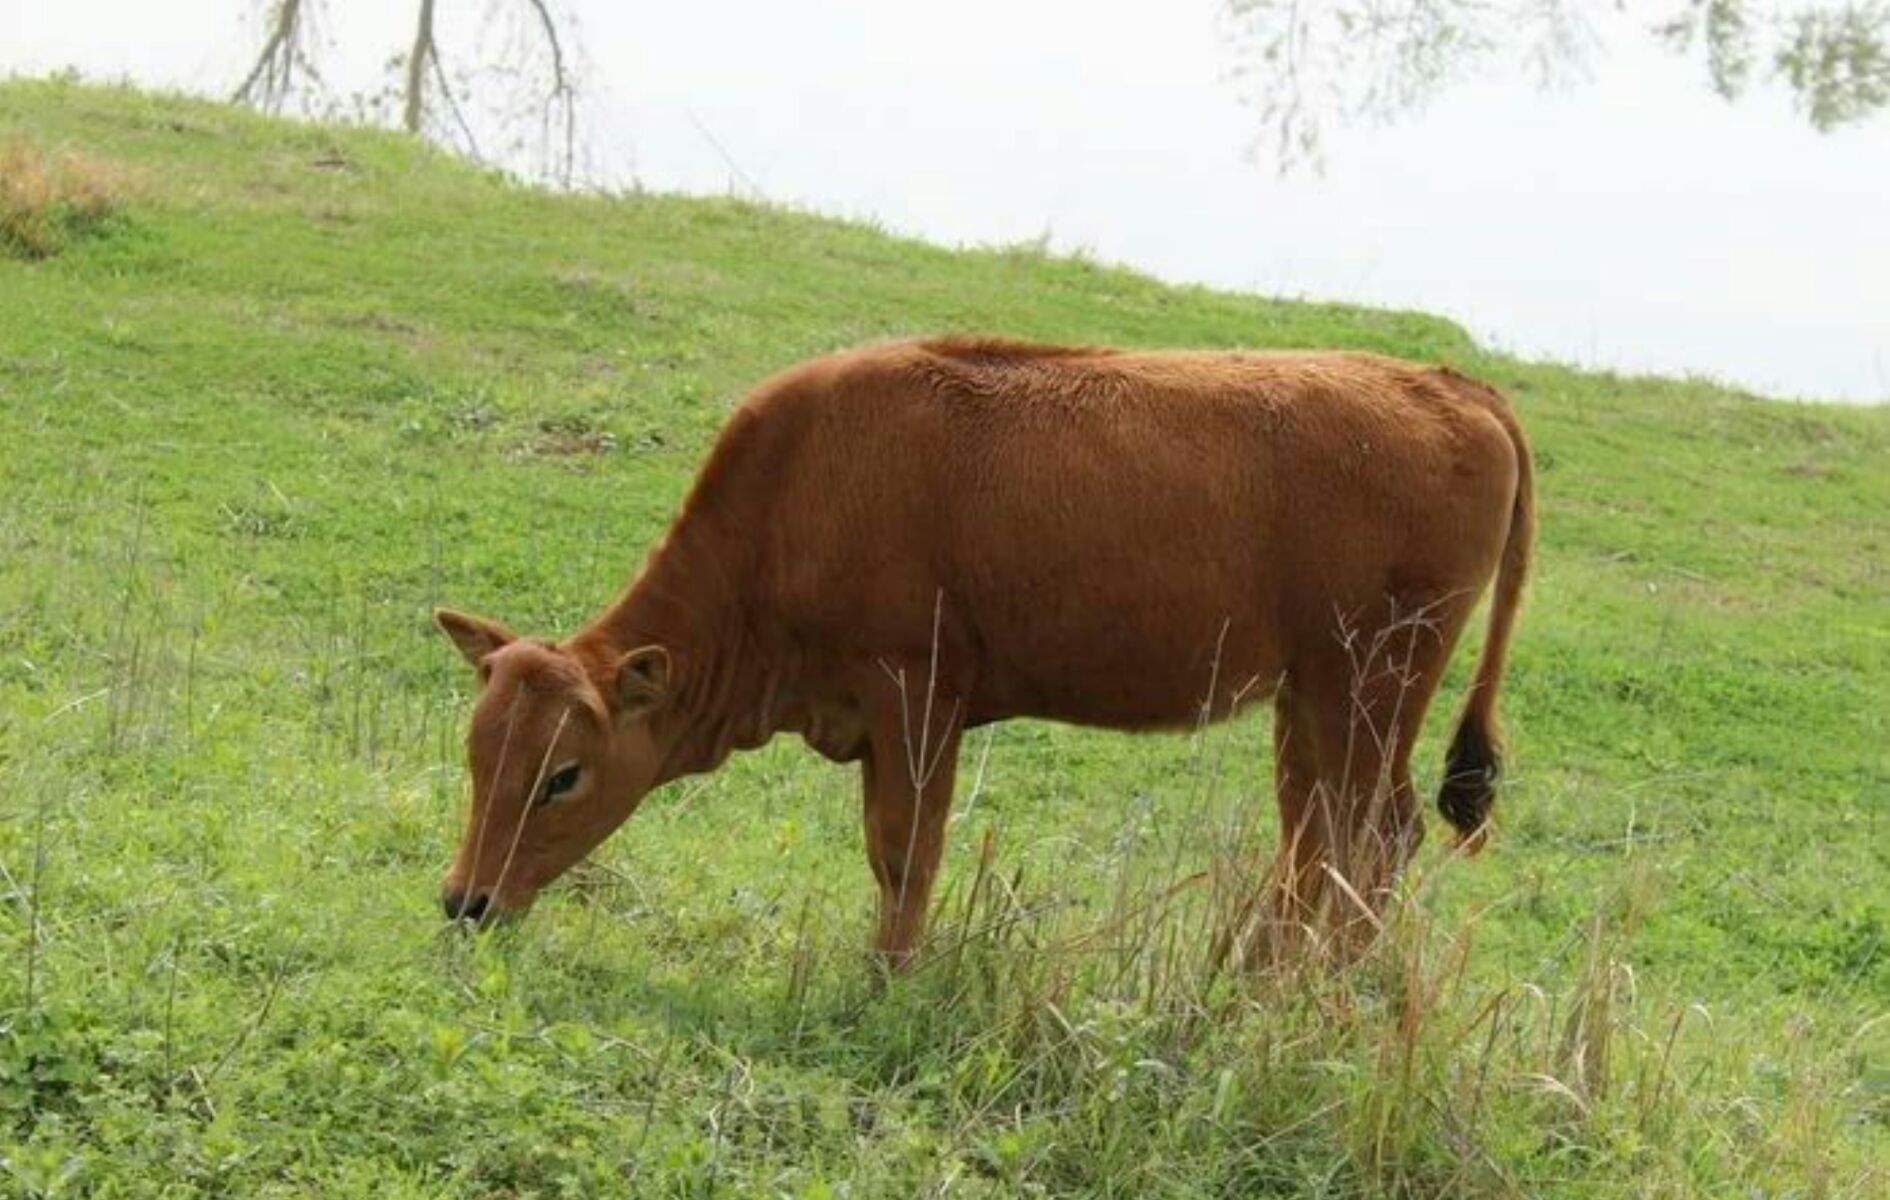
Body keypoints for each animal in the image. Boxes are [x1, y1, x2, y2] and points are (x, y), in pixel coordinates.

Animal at [435, 336, 1534, 964]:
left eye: (563, 775)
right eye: (479, 755)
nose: (465, 902)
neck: (794, 498)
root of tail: (1456, 388)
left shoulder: (917, 704)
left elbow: (904, 852)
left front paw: (890, 976)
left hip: (1368, 695)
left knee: (1370, 839)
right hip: (1312, 702)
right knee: (1318, 842)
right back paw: (1252, 979)